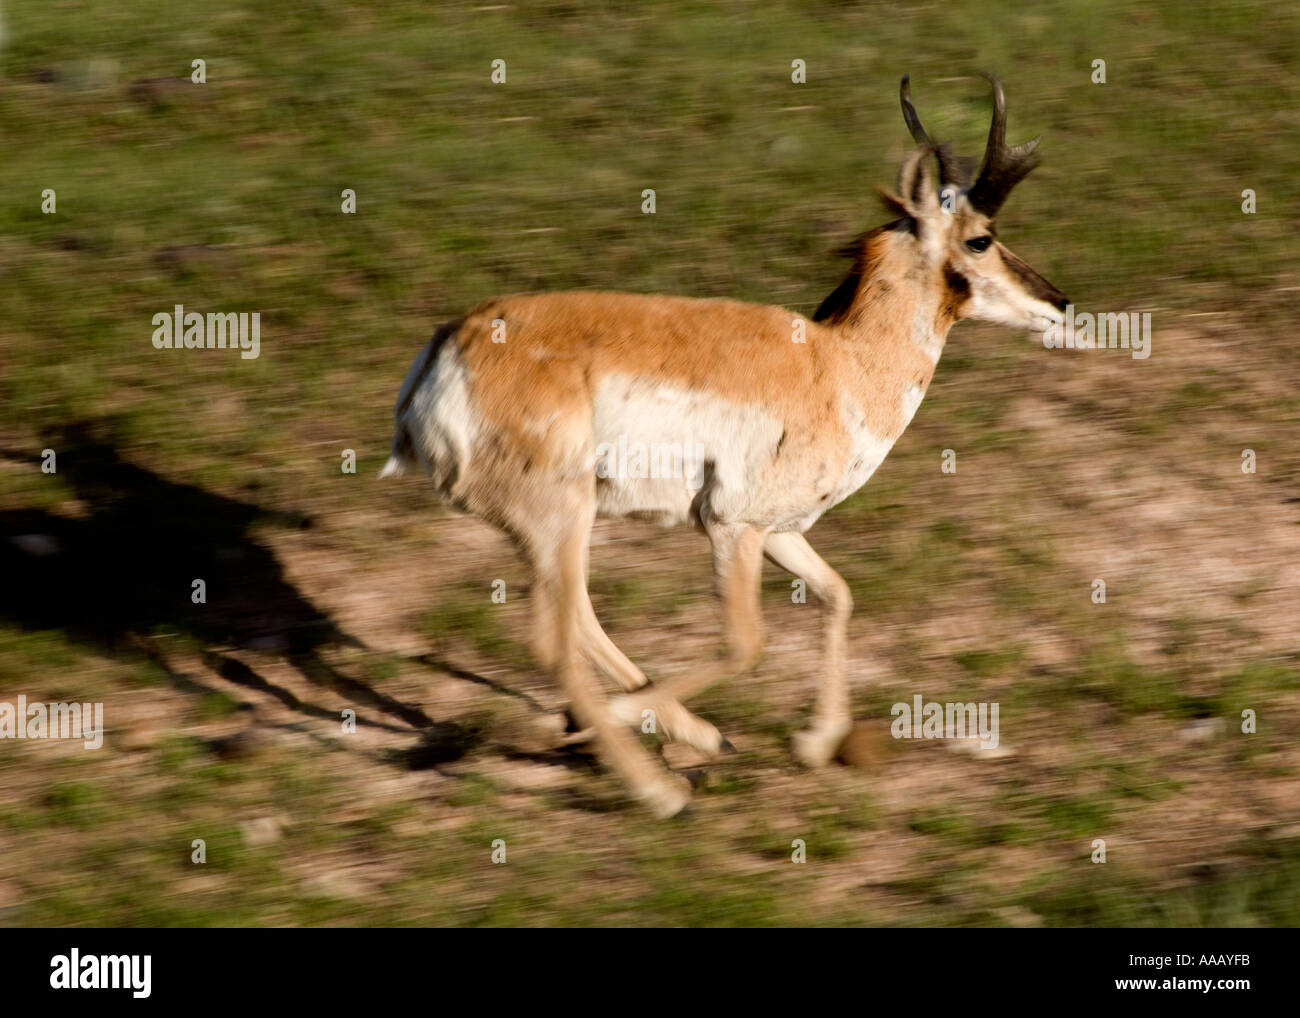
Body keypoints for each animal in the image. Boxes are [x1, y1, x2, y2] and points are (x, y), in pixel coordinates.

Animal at [382, 75, 1067, 817]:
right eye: (981, 238)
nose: (1060, 302)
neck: (835, 362)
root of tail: (451, 346)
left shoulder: (780, 531)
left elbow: (840, 594)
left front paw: (814, 744)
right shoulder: (731, 527)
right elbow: (747, 644)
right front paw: (573, 734)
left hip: (557, 525)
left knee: (579, 618)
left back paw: (688, 739)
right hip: (560, 515)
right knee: (555, 640)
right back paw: (659, 787)